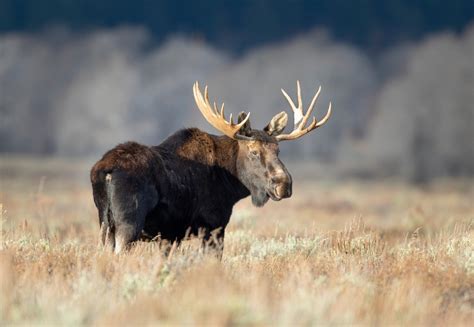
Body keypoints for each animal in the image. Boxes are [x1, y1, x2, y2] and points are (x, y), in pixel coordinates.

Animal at [90, 81, 332, 256]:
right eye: (254, 151)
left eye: (278, 150)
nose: (284, 184)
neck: (232, 184)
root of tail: (105, 171)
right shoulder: (213, 225)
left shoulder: (170, 235)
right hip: (128, 223)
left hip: (105, 224)